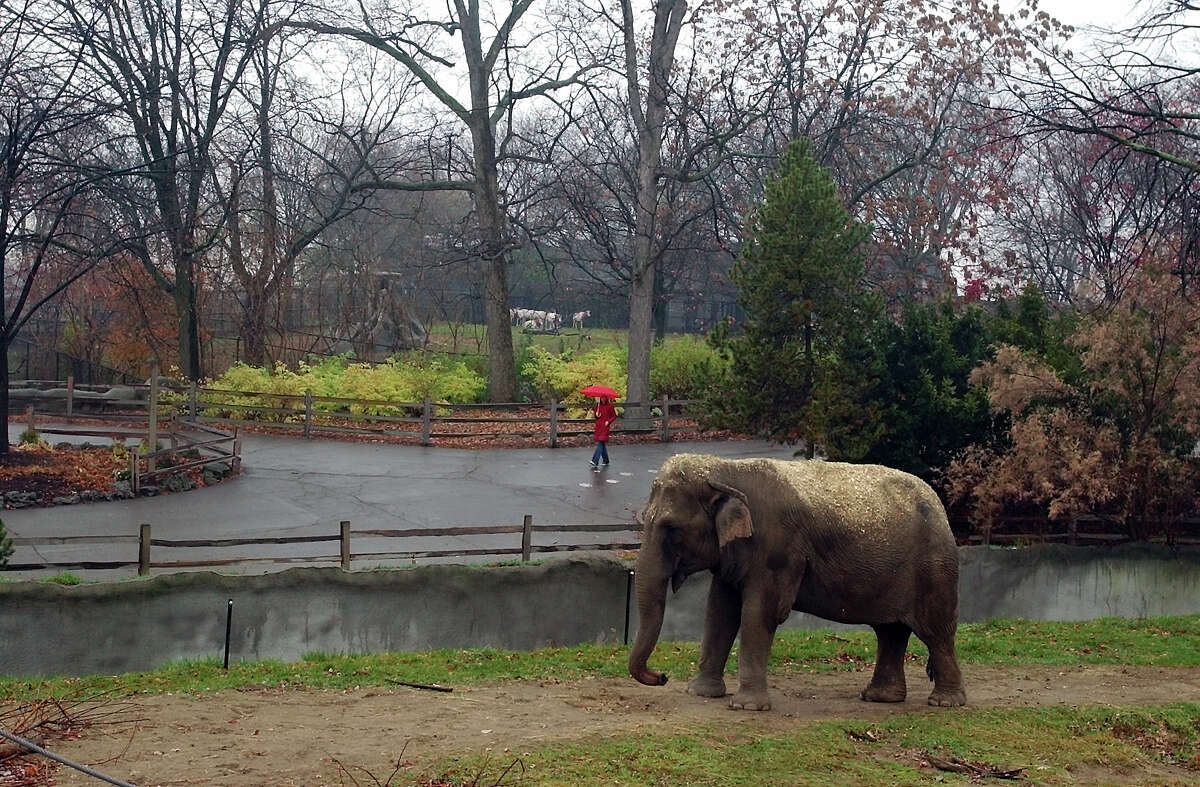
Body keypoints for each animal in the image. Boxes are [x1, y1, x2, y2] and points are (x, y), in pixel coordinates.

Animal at [628, 453, 966, 711]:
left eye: (671, 528)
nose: (661, 676)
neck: (727, 469)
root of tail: (940, 506)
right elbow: (719, 612)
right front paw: (701, 693)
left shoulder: (778, 549)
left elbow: (760, 613)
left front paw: (747, 706)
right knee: (890, 631)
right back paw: (880, 698)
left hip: (935, 569)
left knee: (936, 632)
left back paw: (945, 702)